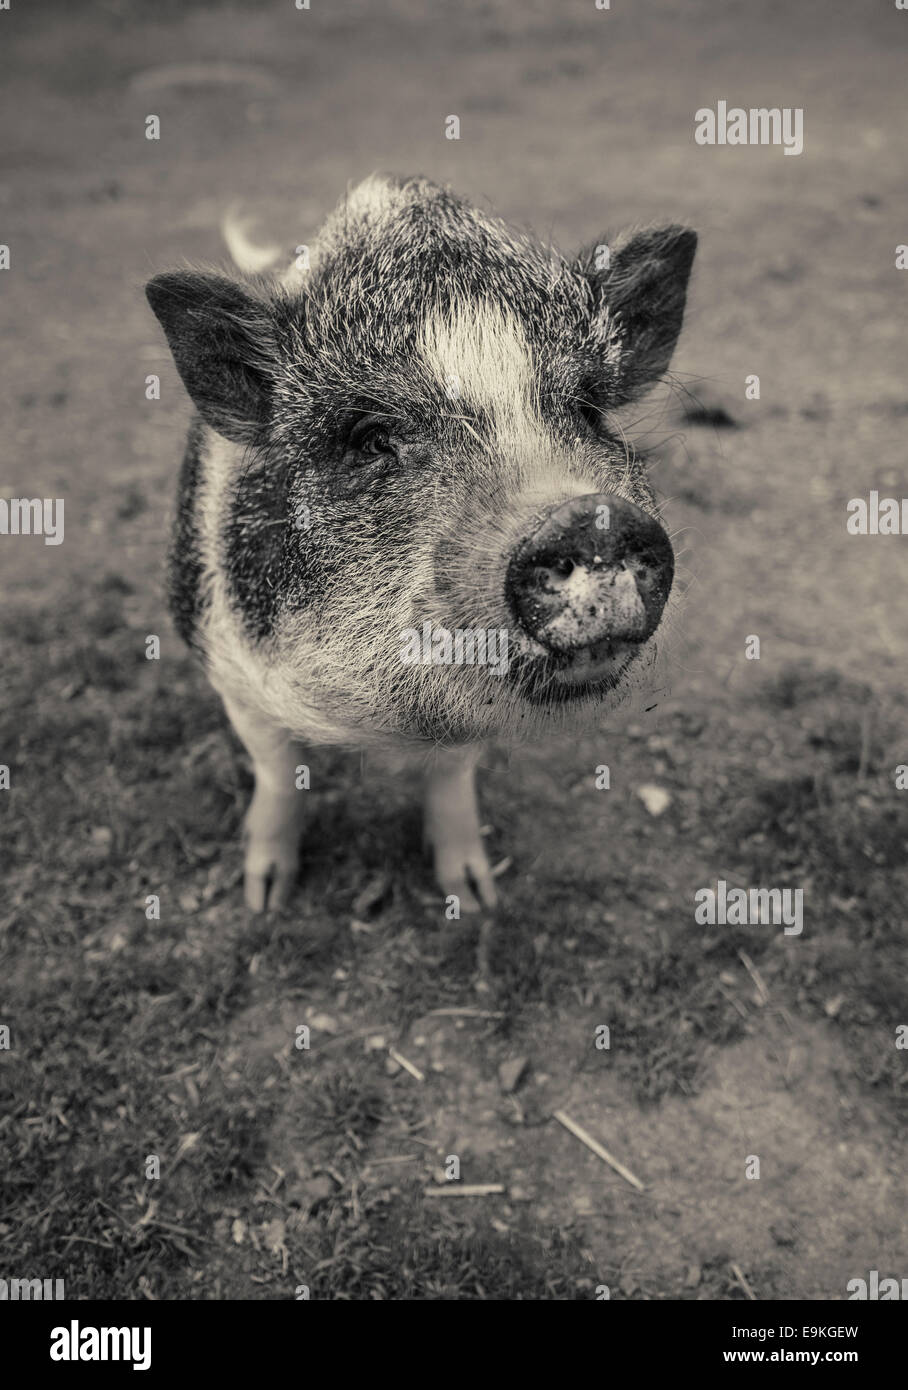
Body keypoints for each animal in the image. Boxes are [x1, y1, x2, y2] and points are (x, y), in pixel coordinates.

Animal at [146, 175, 696, 913]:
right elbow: (277, 768)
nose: (589, 518)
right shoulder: (224, 657)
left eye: (587, 409)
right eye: (371, 437)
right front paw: (264, 900)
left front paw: (476, 897)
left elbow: (452, 774)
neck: (388, 724)